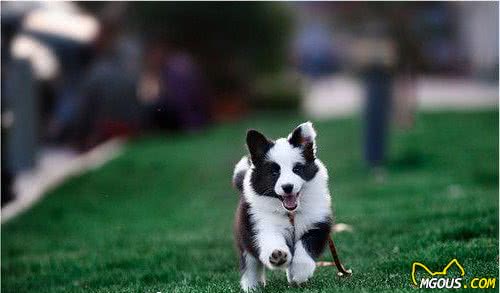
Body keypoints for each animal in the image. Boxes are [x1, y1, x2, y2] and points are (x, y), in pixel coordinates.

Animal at [233, 121, 332, 290]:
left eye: (297, 169)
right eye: (274, 172)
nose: (287, 187)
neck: (291, 213)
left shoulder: (317, 224)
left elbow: (306, 247)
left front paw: (300, 272)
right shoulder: (262, 224)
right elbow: (270, 240)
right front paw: (277, 255)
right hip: (244, 236)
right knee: (250, 263)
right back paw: (252, 286)